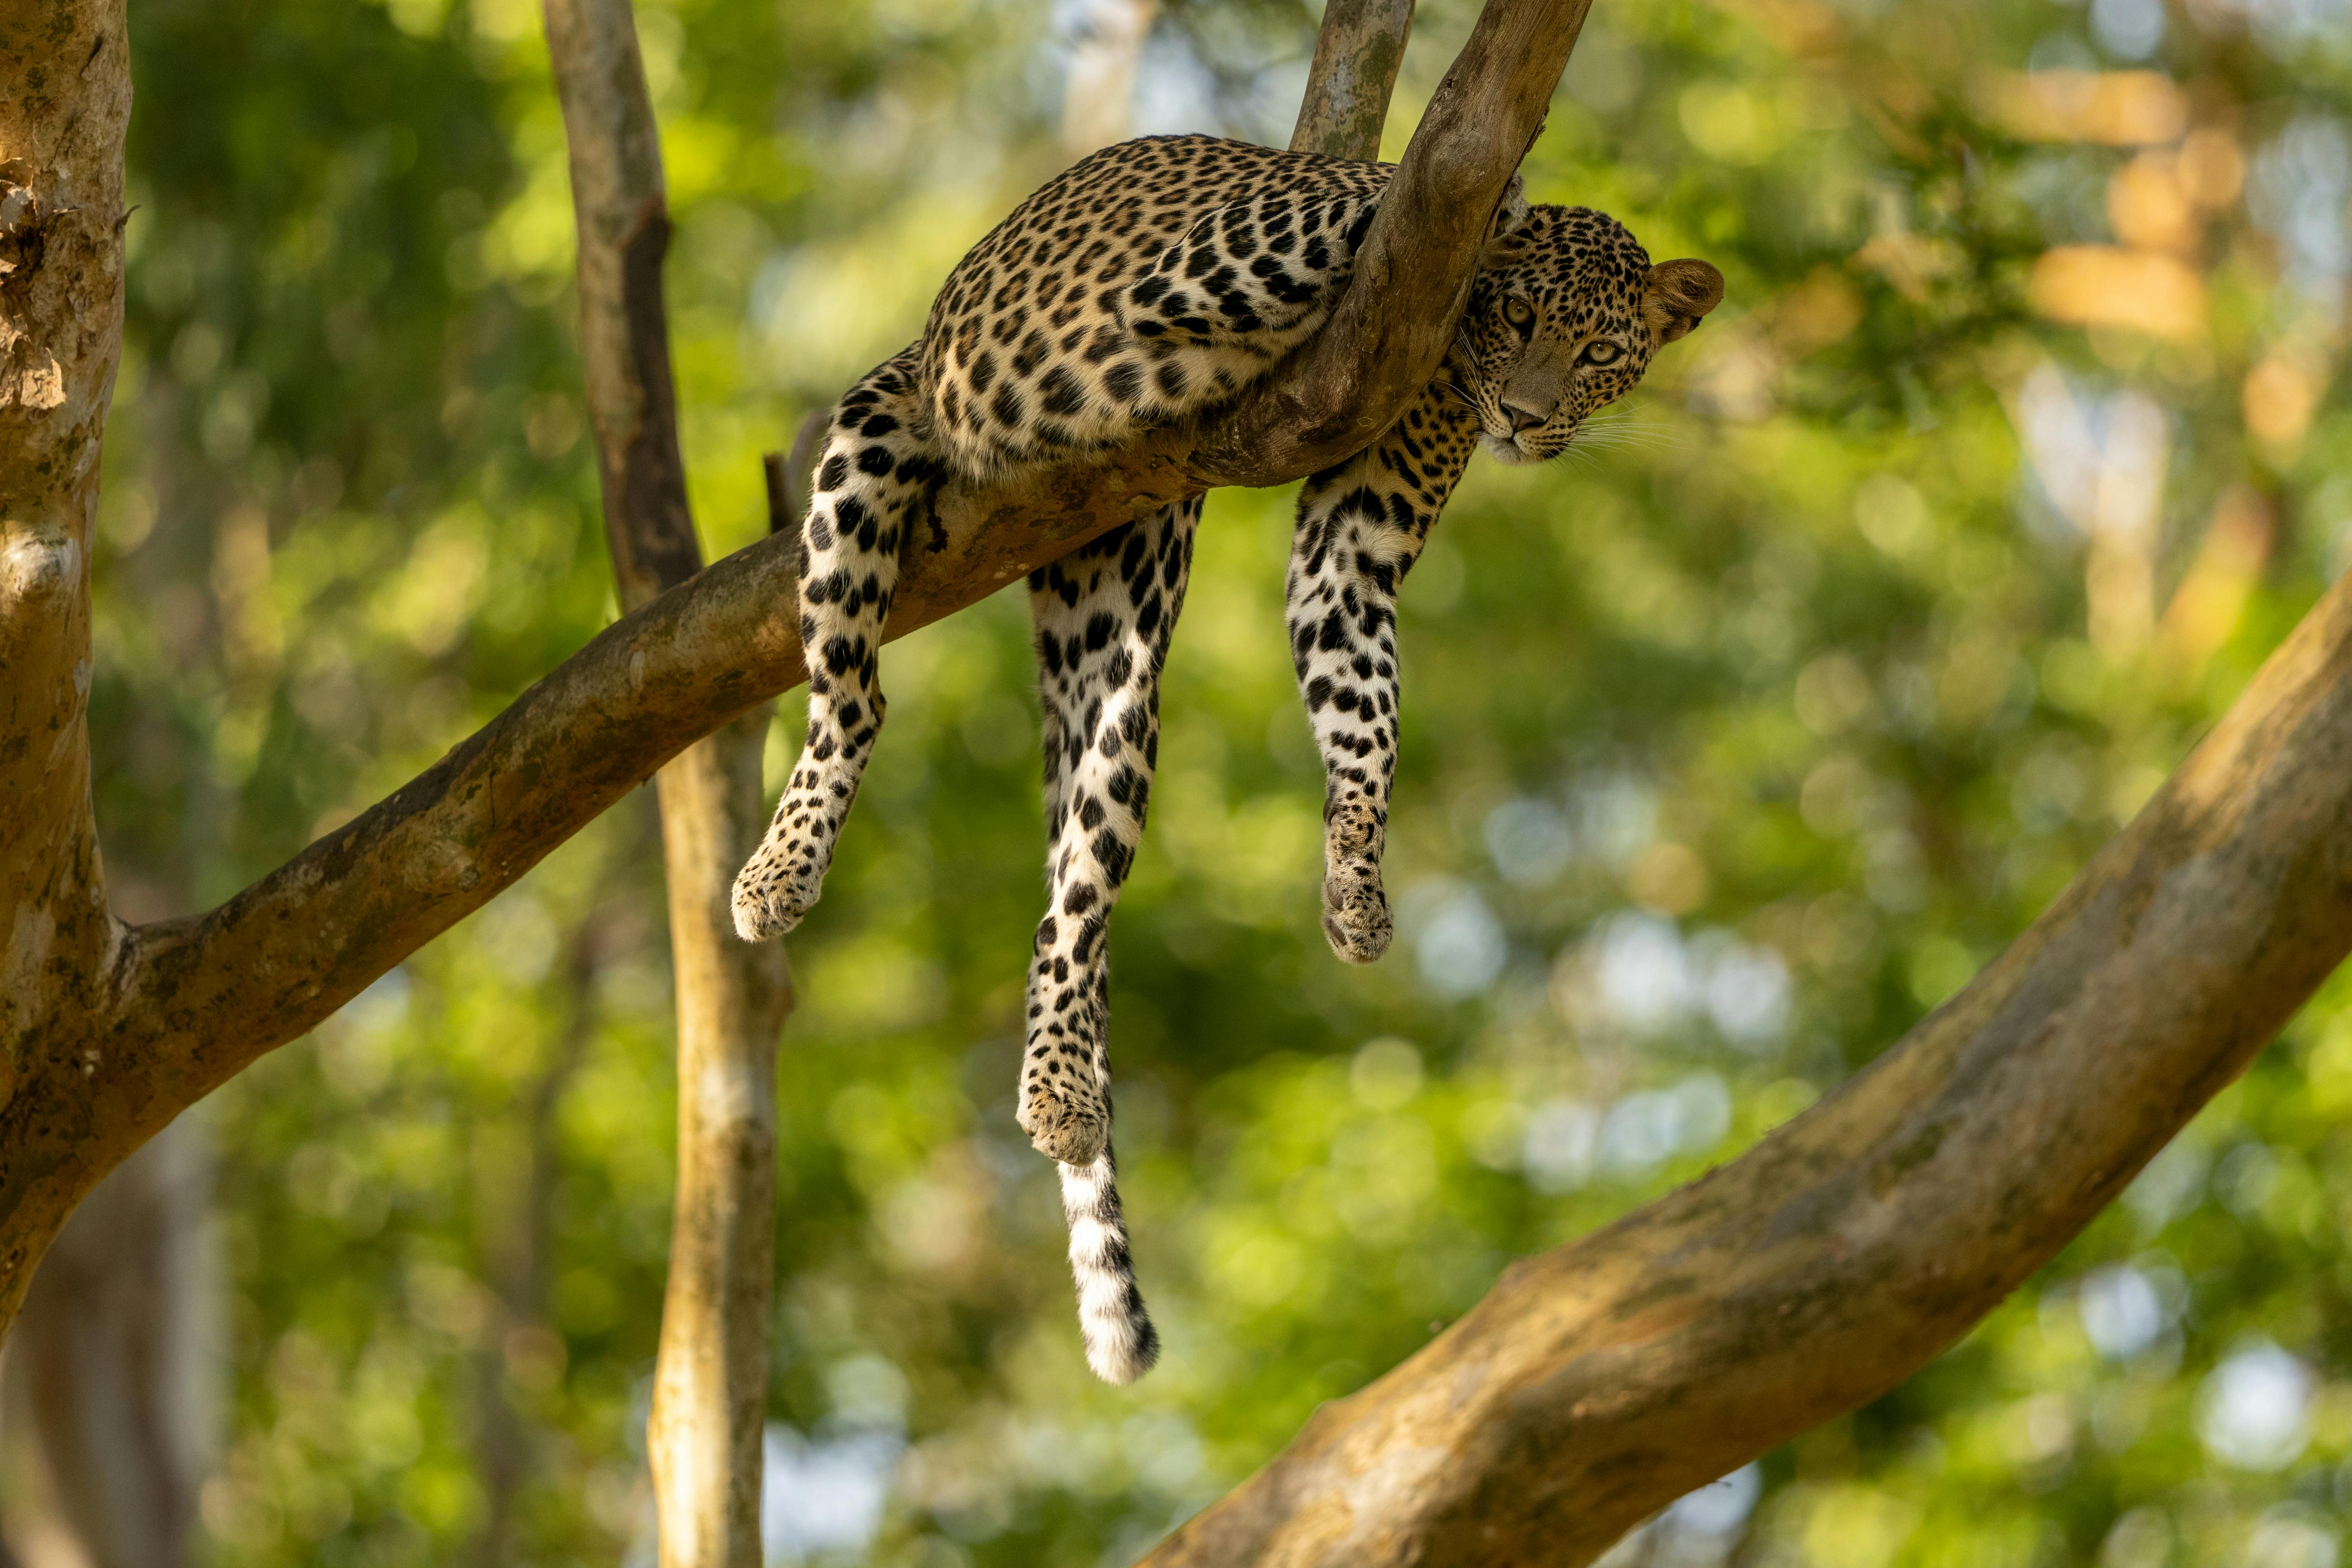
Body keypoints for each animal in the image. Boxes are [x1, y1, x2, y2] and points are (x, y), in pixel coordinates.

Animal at [729, 133, 1723, 1385]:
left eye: (1596, 354)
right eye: (1514, 314)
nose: (1523, 416)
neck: (1435, 350)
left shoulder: (1354, 542)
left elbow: (1365, 719)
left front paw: (1356, 887)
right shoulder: (1221, 261)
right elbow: (1404, 189)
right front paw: (1497, 186)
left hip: (1119, 641)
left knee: (1076, 889)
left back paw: (1060, 1082)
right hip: (876, 433)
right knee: (850, 696)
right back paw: (778, 873)